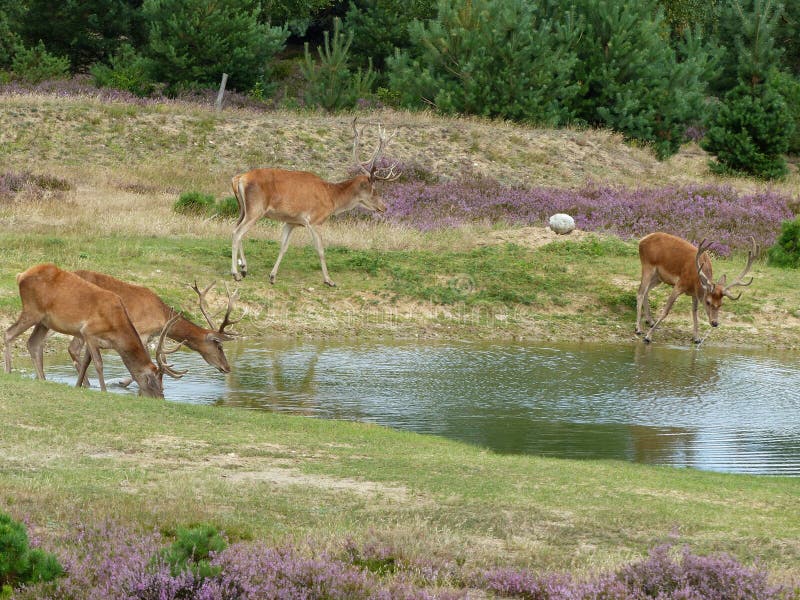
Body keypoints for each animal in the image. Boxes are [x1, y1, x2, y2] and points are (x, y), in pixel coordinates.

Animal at [3, 263, 179, 398]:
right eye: (154, 381)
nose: (161, 398)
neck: (116, 327)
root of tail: (20, 275)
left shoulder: (90, 339)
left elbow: (86, 362)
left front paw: (78, 386)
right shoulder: (89, 332)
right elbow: (98, 364)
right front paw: (104, 391)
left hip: (44, 321)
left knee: (33, 343)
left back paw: (42, 379)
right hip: (32, 310)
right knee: (8, 333)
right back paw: (9, 371)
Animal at [66, 271, 238, 386]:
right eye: (219, 346)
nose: (227, 367)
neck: (161, 315)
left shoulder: (151, 337)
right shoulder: (141, 331)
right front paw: (123, 382)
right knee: (73, 348)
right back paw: (87, 384)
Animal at [230, 118, 400, 287]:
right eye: (374, 190)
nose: (384, 207)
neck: (332, 197)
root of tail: (239, 178)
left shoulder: (292, 222)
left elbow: (283, 247)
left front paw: (272, 276)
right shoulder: (315, 220)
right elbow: (320, 250)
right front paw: (329, 280)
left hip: (243, 209)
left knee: (236, 229)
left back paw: (244, 268)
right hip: (256, 209)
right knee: (237, 233)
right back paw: (236, 273)